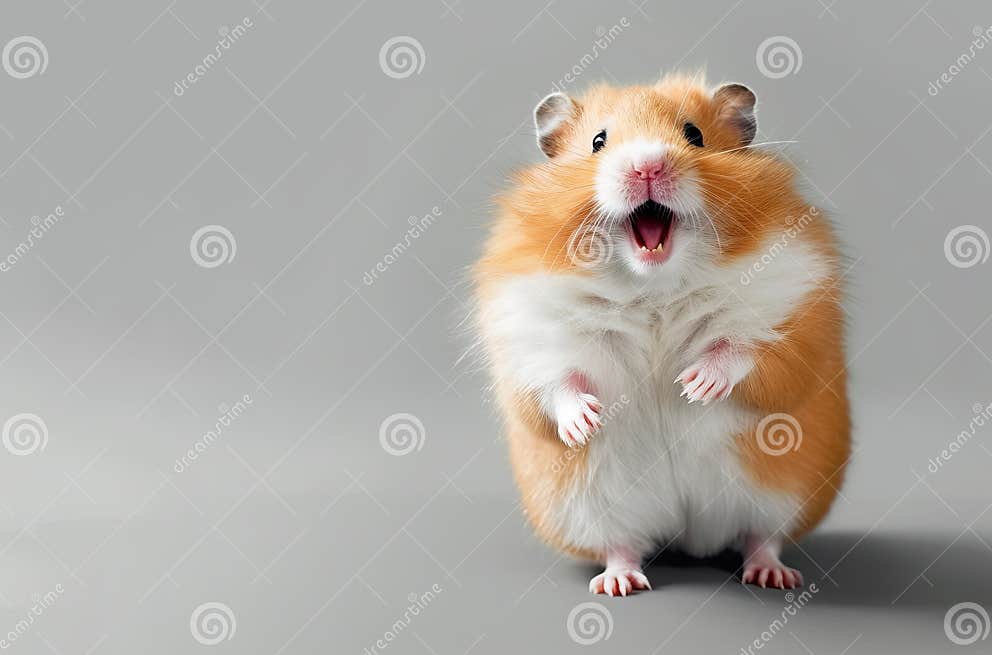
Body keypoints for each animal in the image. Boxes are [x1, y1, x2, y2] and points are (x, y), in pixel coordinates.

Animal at [473, 73, 850, 596]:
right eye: (598, 141)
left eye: (694, 134)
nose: (647, 164)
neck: (652, 288)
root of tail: (690, 536)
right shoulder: (532, 337)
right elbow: (557, 385)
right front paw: (586, 422)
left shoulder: (793, 313)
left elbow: (741, 349)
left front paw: (694, 385)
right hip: (590, 510)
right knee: (621, 544)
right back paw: (619, 583)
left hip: (784, 494)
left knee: (762, 536)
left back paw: (772, 576)